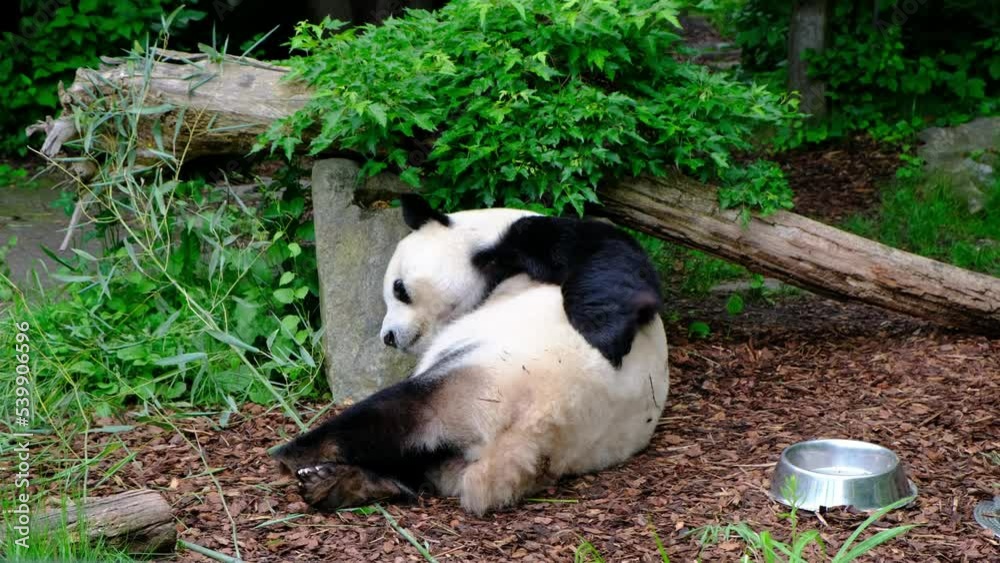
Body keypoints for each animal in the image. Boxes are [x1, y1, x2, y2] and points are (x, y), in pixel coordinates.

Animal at [270, 197, 669, 515]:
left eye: (399, 289)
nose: (388, 337)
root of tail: (534, 432)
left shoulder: (529, 241)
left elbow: (611, 257)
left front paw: (602, 336)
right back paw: (339, 484)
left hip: (469, 385)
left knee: (385, 416)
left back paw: (295, 456)